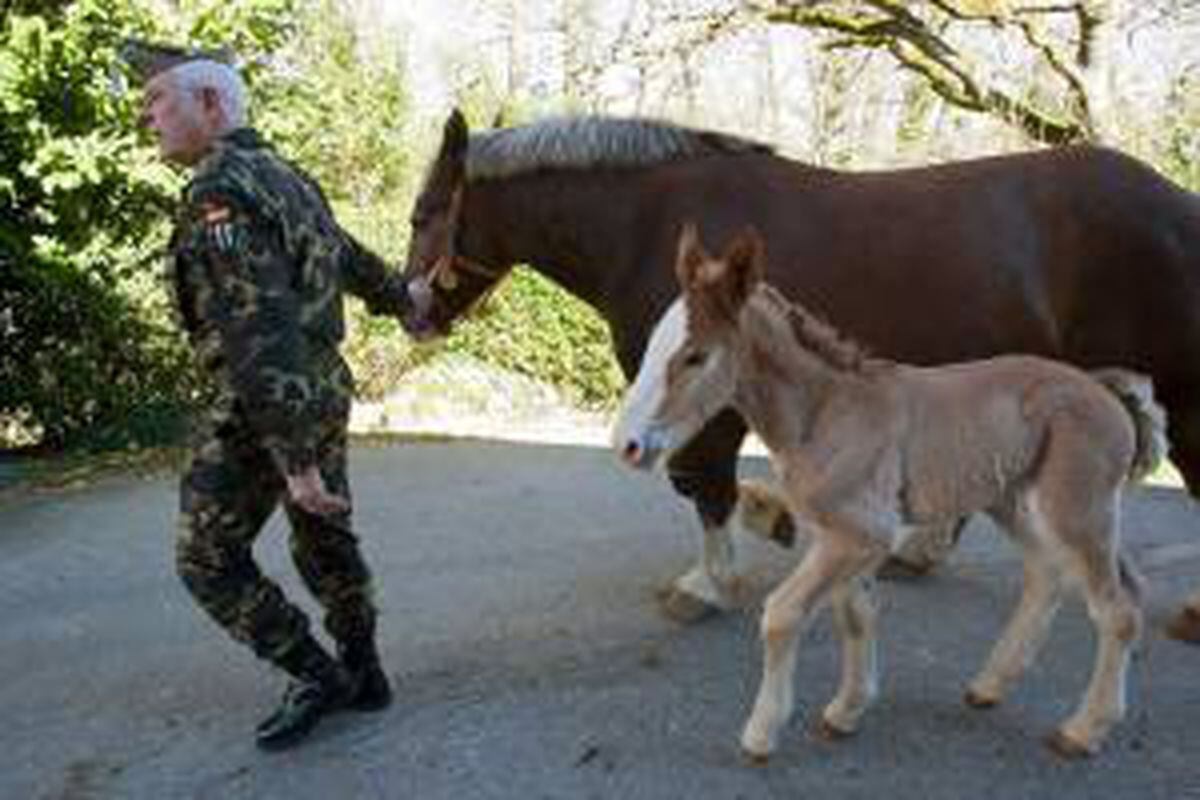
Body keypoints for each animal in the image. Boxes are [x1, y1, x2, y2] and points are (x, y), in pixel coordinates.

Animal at [399, 109, 1200, 624]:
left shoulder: (707, 401)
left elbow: (704, 487)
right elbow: (718, 489)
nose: (409, 312)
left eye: (422, 215)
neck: (650, 226)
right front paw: (766, 525)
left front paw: (710, 584)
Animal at [616, 223, 1166, 760]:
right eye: (654, 344)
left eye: (695, 356)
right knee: (1048, 574)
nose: (628, 445)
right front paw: (846, 712)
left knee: (1117, 610)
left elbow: (782, 615)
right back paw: (989, 686)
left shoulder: (862, 534)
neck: (825, 412)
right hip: (1011, 501)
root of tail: (1106, 389)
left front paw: (761, 733)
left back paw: (1083, 730)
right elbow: (856, 616)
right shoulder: (840, 539)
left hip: (1078, 511)